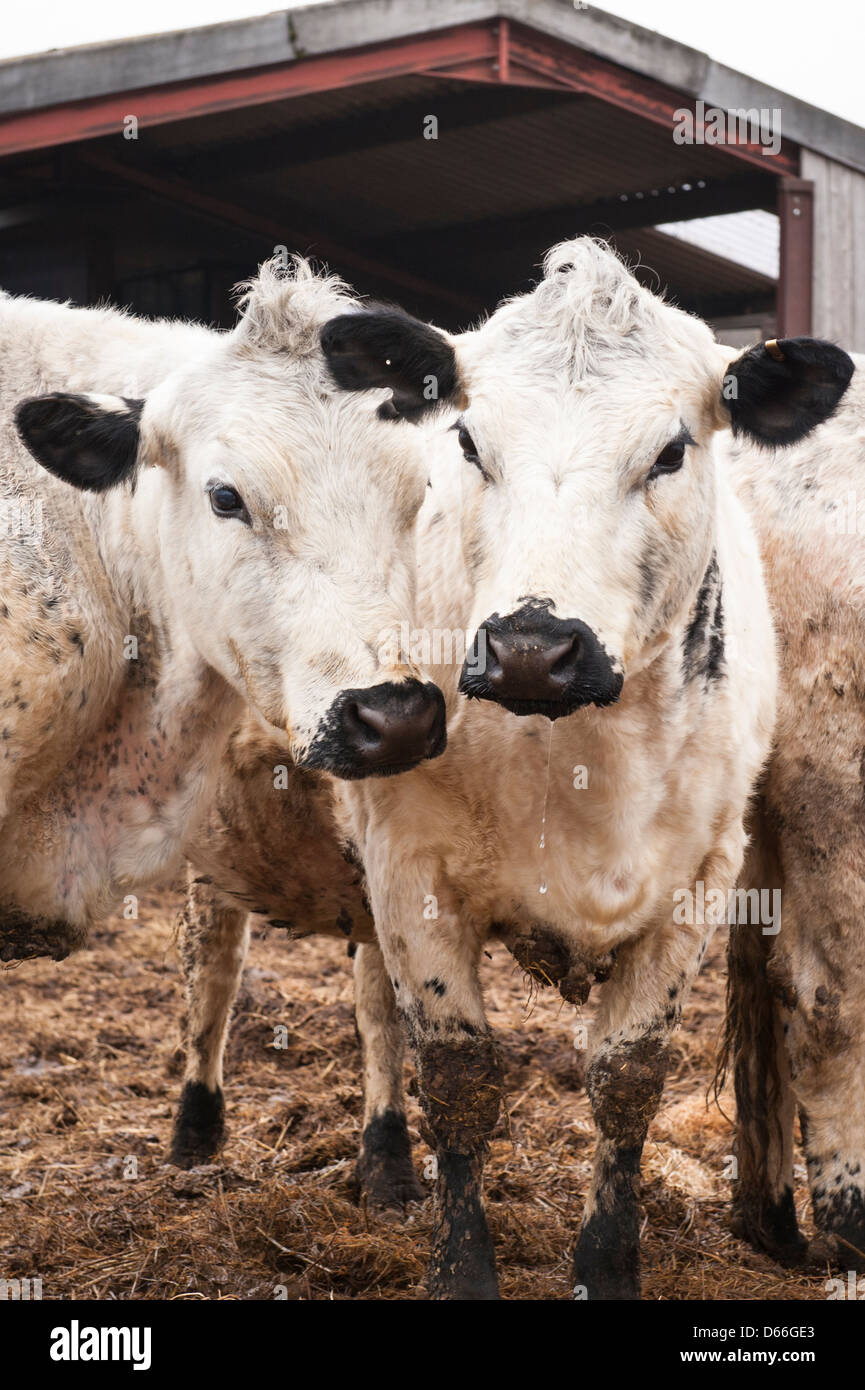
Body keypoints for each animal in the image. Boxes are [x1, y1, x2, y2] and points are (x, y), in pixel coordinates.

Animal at [172, 238, 853, 1299]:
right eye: (467, 443)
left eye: (670, 451)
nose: (533, 647)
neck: (573, 766)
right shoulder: (413, 872)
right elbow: (459, 1078)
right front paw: (461, 1270)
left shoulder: (699, 883)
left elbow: (624, 1081)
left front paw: (606, 1266)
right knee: (217, 965)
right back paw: (196, 1134)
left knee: (371, 1002)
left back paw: (384, 1161)